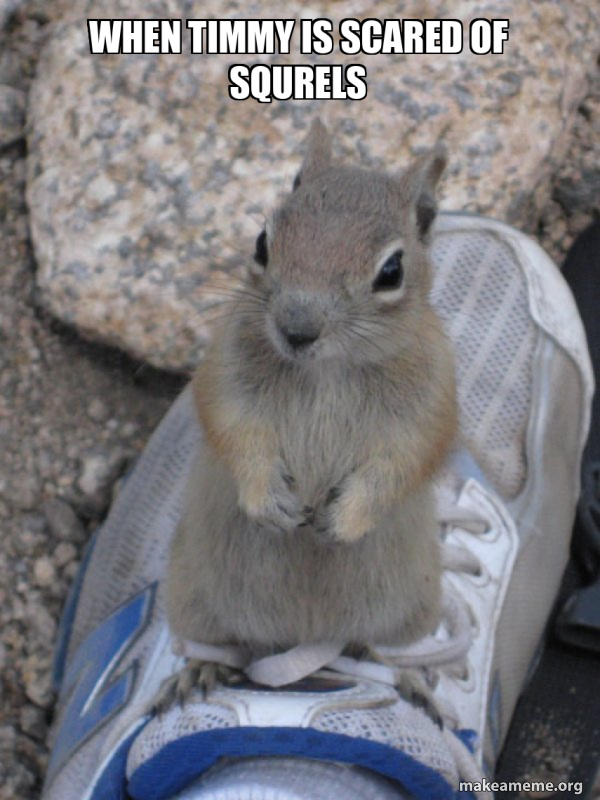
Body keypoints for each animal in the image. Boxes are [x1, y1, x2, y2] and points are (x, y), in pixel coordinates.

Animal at [163, 118, 457, 701]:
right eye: (263, 241)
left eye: (392, 271)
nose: (296, 329)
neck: (327, 370)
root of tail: (305, 634)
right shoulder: (227, 377)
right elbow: (236, 433)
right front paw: (268, 500)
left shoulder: (429, 406)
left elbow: (401, 464)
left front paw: (345, 519)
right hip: (189, 596)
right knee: (228, 644)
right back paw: (201, 670)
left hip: (414, 609)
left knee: (364, 644)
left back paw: (400, 675)